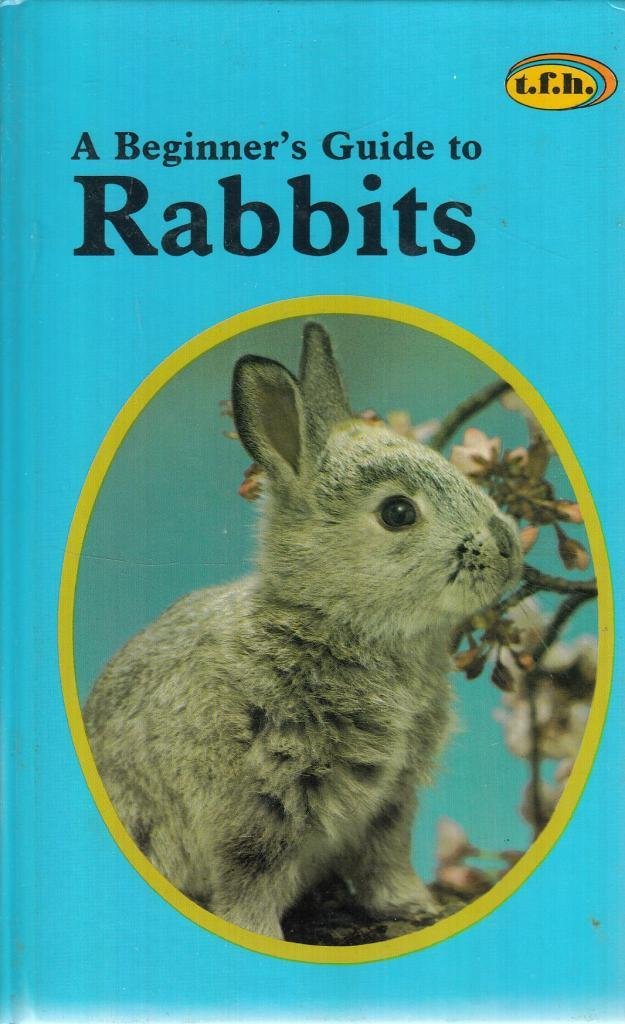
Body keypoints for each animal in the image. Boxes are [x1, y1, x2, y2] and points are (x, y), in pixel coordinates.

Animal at [83, 322, 522, 941]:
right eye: (398, 513)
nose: (508, 549)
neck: (336, 622)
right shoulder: (260, 804)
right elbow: (251, 879)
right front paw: (262, 937)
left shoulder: (392, 799)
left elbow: (386, 857)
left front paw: (413, 907)